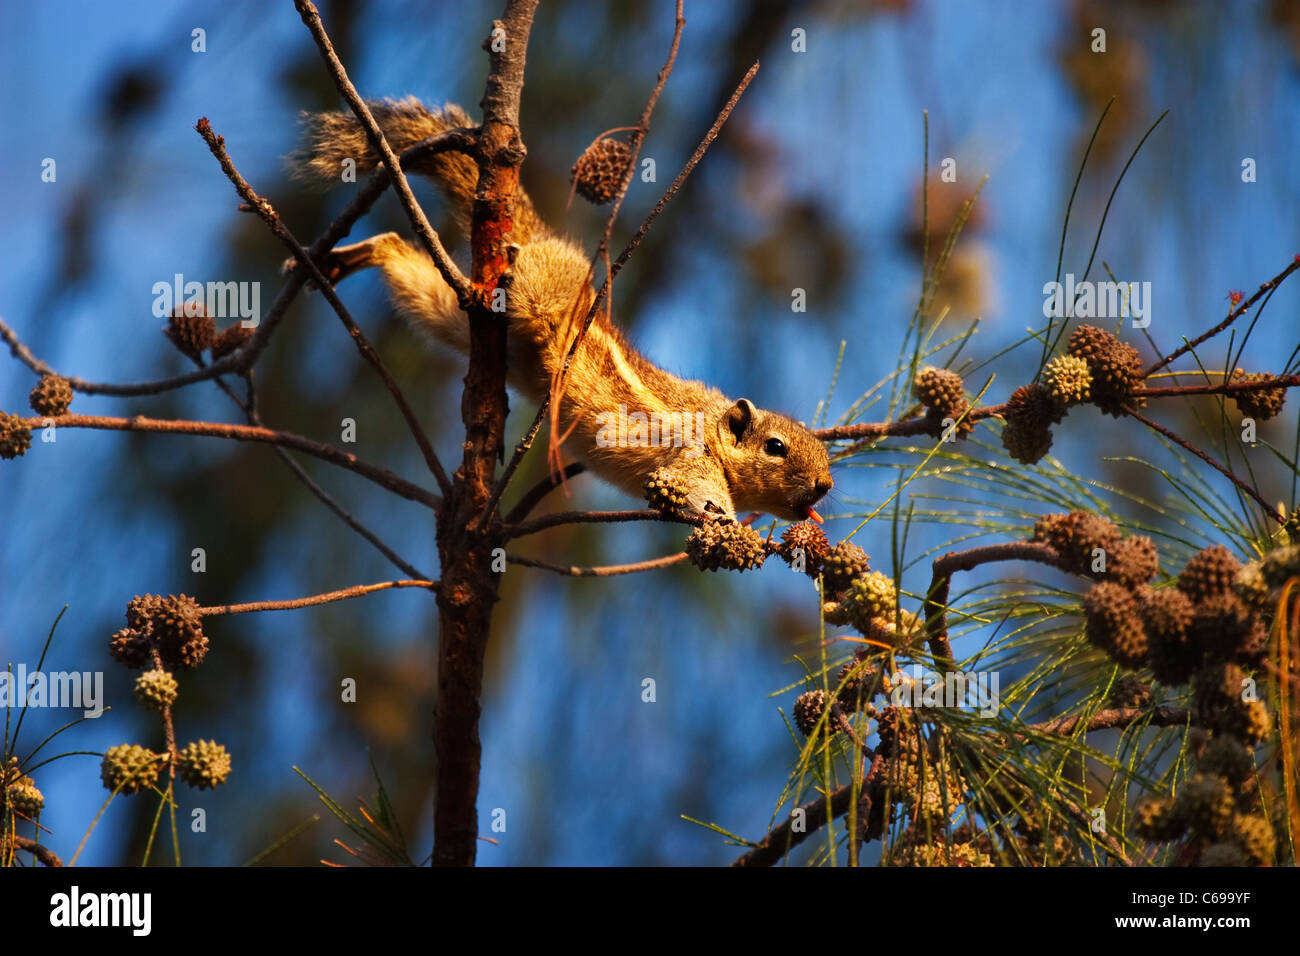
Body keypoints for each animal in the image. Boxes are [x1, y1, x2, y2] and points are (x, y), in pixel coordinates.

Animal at [287, 98, 833, 522]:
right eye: (776, 448)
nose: (825, 486)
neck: (715, 424)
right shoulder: (691, 451)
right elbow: (700, 488)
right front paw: (726, 523)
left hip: (457, 319)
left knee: (401, 254)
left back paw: (348, 258)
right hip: (537, 293)